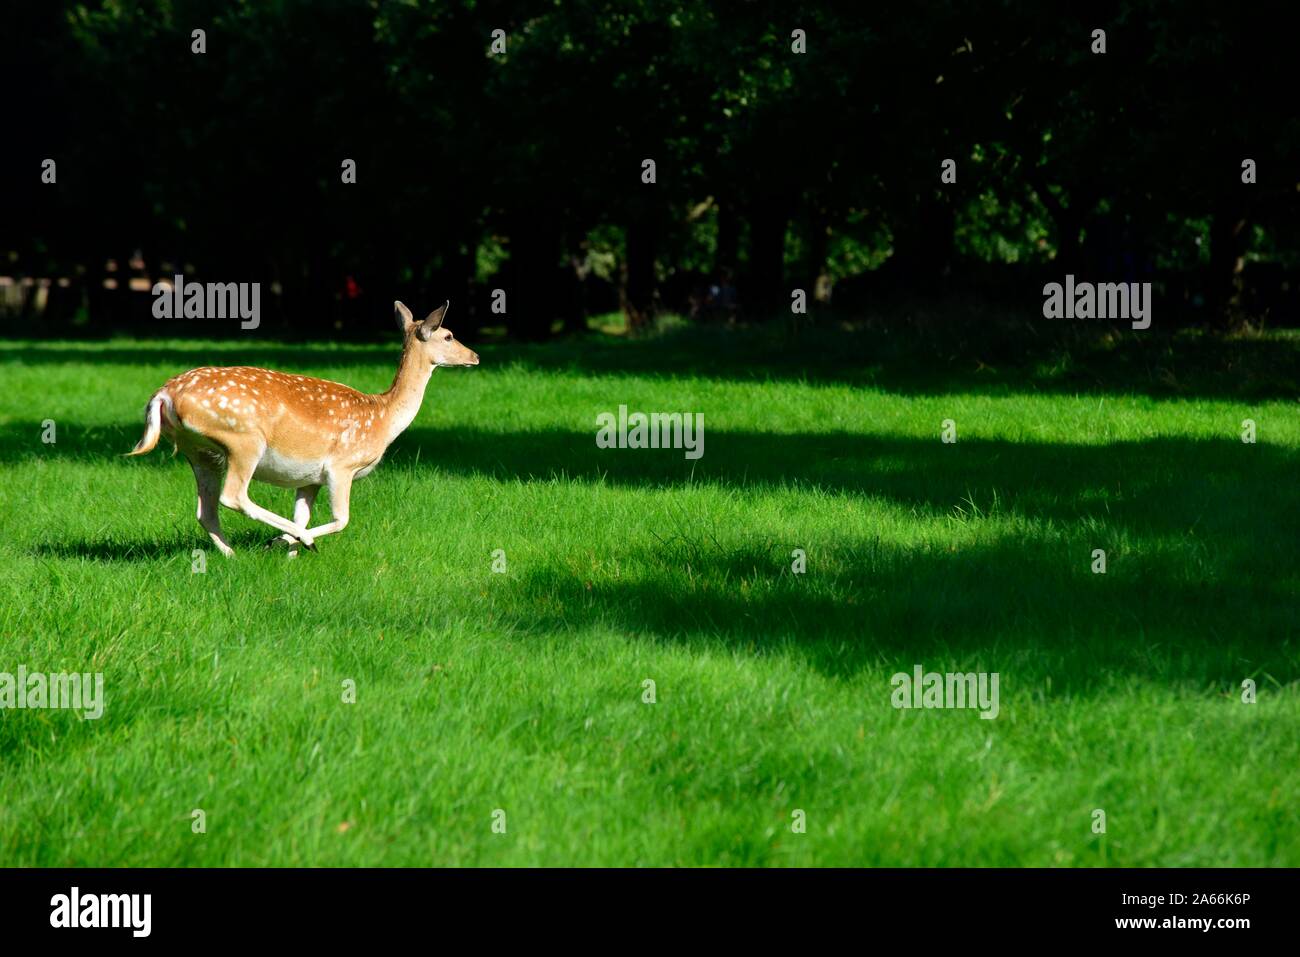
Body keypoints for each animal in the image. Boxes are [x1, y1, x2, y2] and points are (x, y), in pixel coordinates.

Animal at [127, 301, 478, 556]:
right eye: (448, 335)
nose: (474, 356)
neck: (383, 417)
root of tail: (165, 394)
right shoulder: (342, 466)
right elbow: (341, 520)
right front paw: (293, 542)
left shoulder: (309, 479)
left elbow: (303, 515)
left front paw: (290, 550)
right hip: (243, 440)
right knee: (234, 496)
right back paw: (288, 541)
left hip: (199, 451)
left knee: (206, 511)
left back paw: (233, 555)